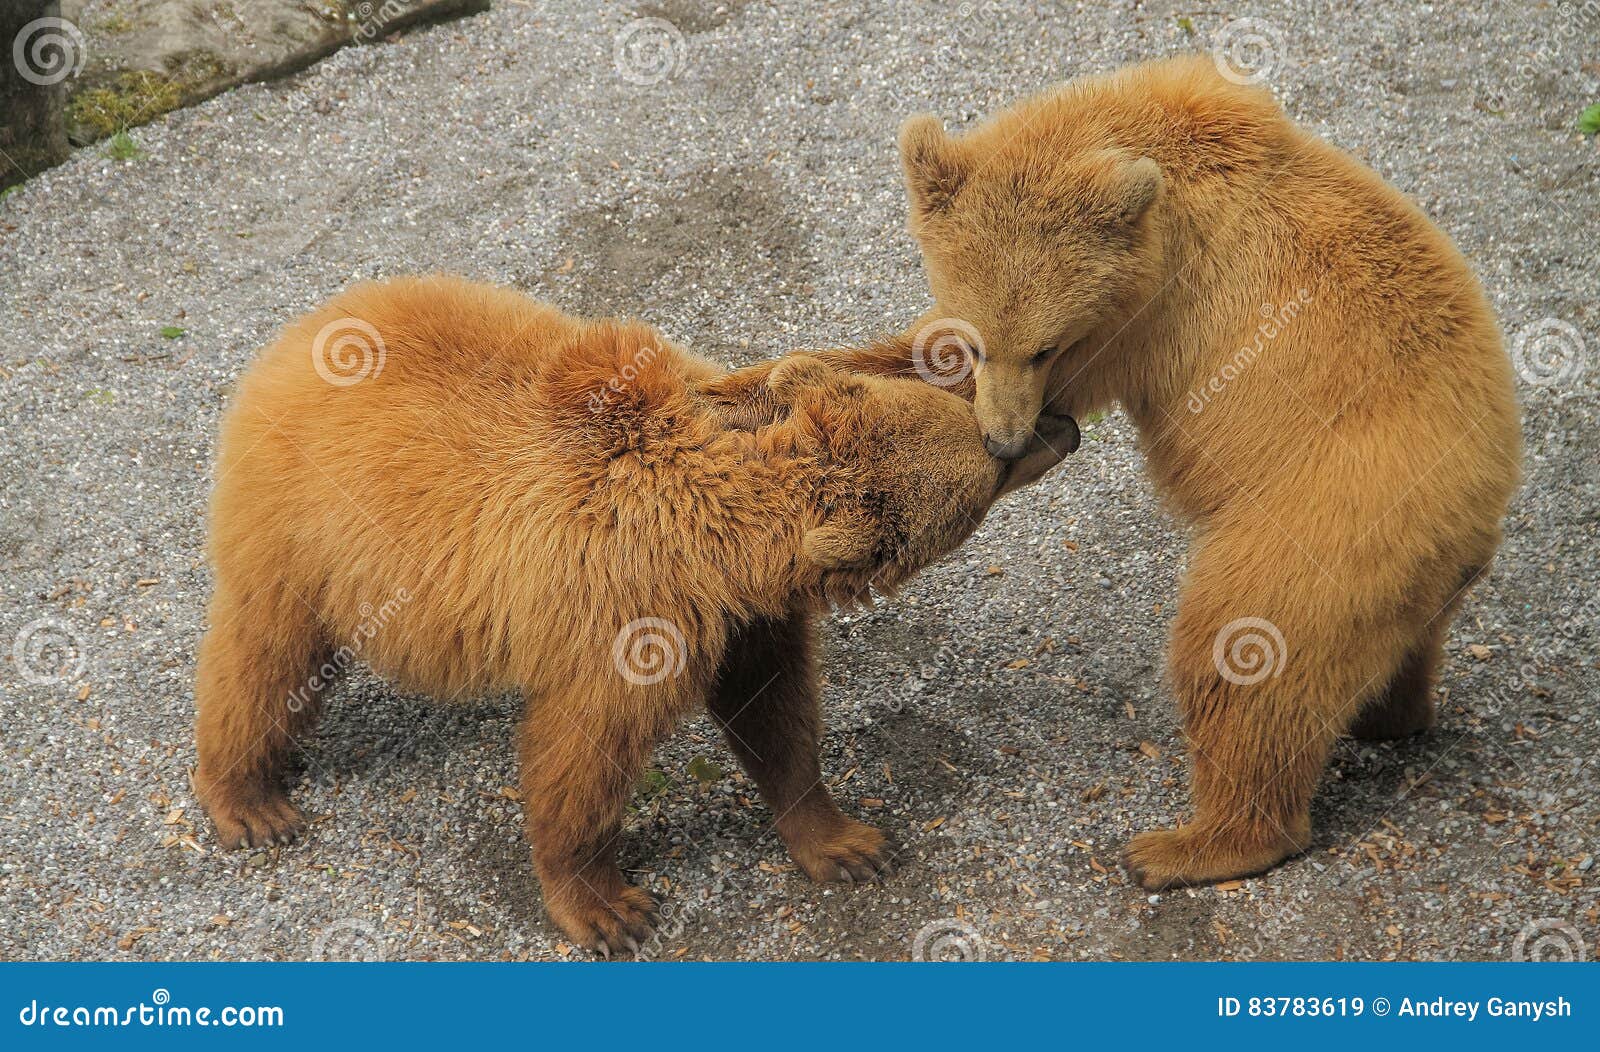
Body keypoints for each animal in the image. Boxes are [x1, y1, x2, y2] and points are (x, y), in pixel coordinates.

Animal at [192, 274, 1073, 954]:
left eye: (977, 426)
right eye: (992, 463)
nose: (1058, 427)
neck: (725, 535)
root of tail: (291, 340)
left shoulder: (744, 618)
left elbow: (775, 715)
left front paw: (845, 842)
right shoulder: (629, 612)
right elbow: (584, 749)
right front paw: (608, 906)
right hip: (300, 535)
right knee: (264, 657)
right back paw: (250, 801)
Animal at [878, 55, 1522, 889]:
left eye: (1046, 346)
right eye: (986, 337)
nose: (1005, 439)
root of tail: (1488, 487)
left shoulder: (1148, 314)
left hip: (1324, 525)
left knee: (1238, 658)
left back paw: (1186, 845)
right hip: (1406, 564)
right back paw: (1390, 716)